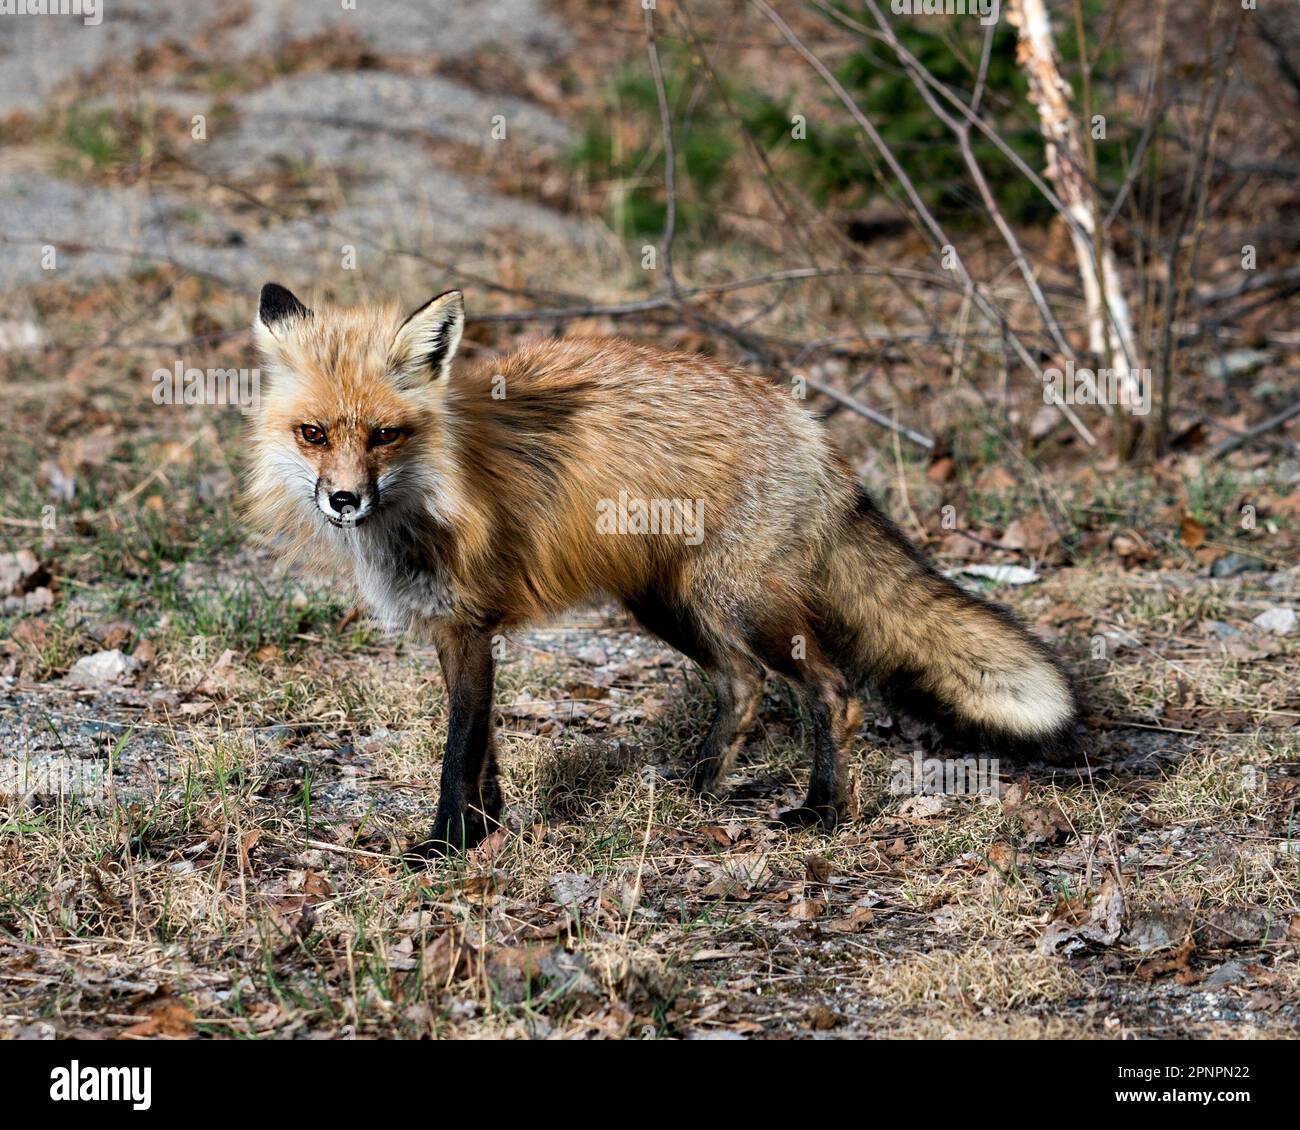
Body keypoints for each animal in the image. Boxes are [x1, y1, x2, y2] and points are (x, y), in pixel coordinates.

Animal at [244, 282, 1080, 854]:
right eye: (314, 433)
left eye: (385, 434)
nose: (345, 500)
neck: (429, 495)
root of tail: (810, 426)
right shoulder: (459, 633)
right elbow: (485, 750)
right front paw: (490, 828)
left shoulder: (469, 627)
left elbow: (459, 751)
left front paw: (448, 846)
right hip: (669, 603)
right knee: (743, 686)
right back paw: (699, 786)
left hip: (742, 604)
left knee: (832, 693)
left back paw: (821, 810)